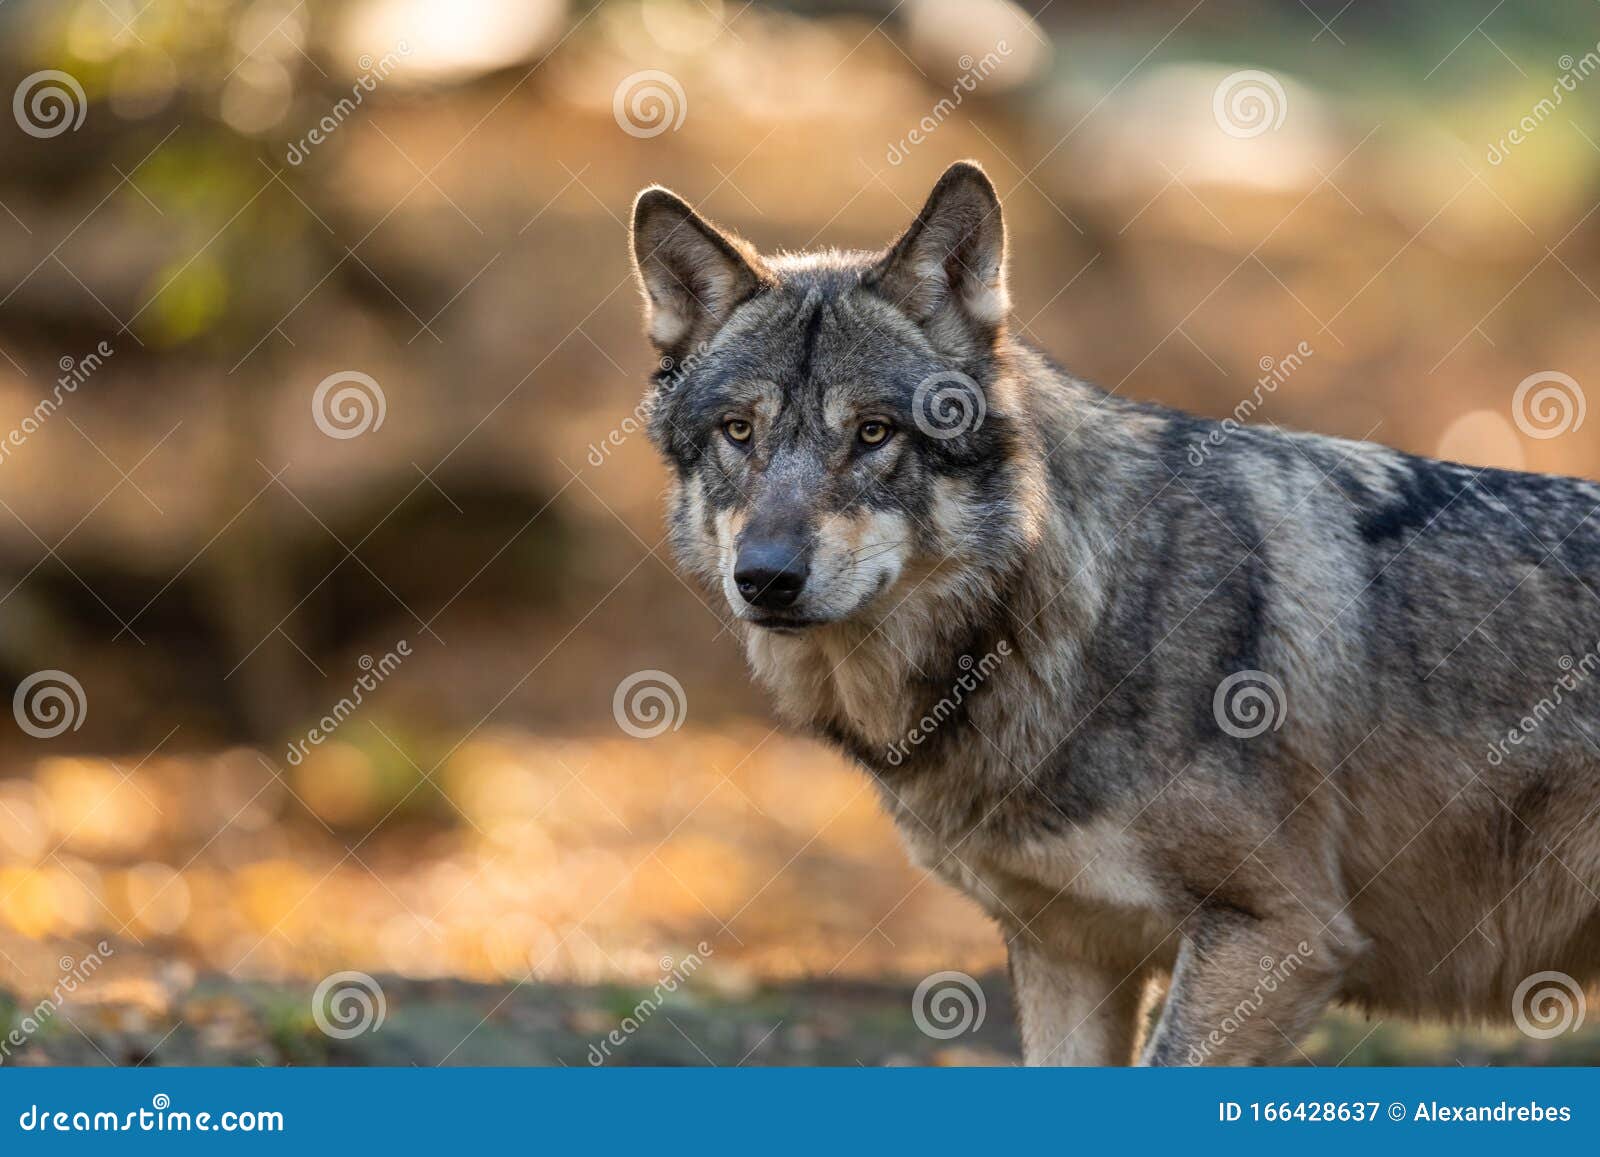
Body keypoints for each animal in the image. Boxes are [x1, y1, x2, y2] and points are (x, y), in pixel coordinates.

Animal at [628, 160, 1600, 1064]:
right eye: (739, 432)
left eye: (873, 432)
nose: (766, 577)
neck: (1067, 618)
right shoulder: (1070, 952)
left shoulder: (1279, 935)